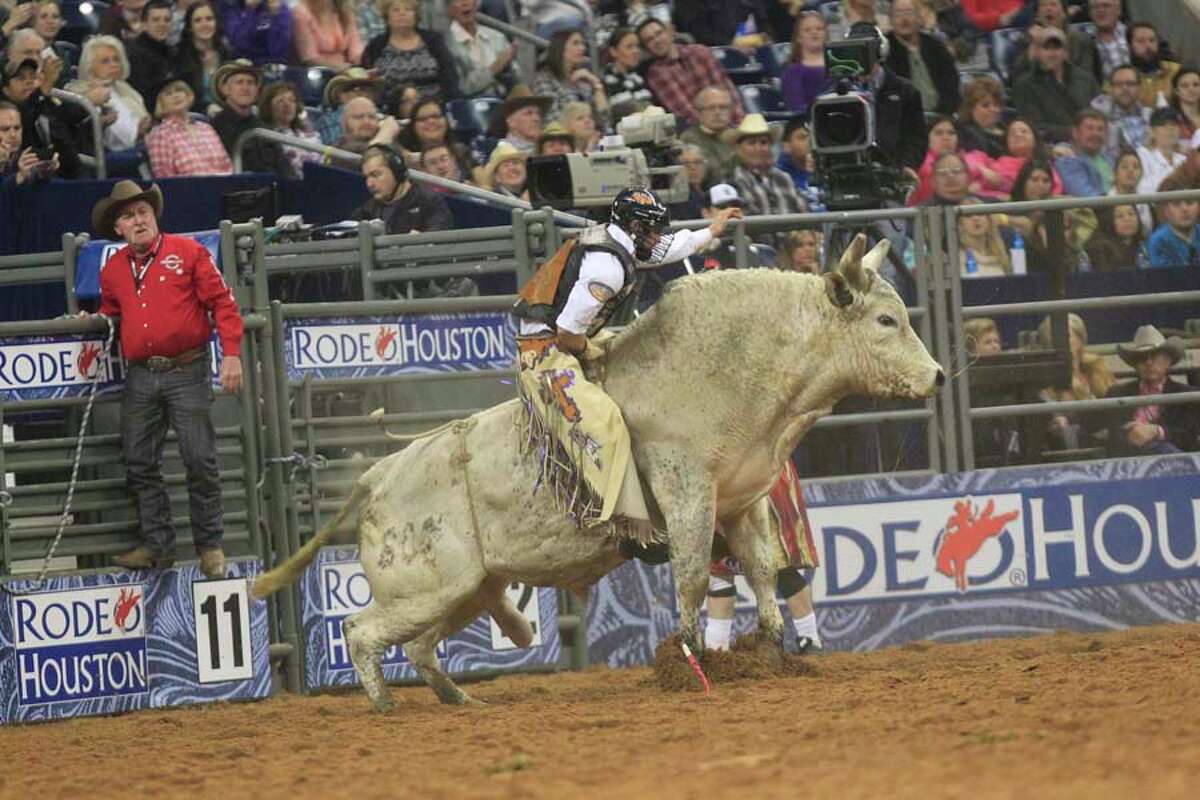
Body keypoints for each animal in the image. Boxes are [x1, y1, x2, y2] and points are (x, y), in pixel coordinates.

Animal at [252, 235, 944, 711]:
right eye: (886, 320)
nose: (937, 375)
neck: (737, 367)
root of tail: (376, 478)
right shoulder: (688, 496)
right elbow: (693, 578)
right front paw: (690, 663)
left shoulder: (744, 502)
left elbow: (764, 572)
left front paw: (774, 653)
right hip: (423, 587)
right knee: (362, 630)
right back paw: (384, 703)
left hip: (468, 588)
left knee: (420, 645)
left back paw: (460, 698)